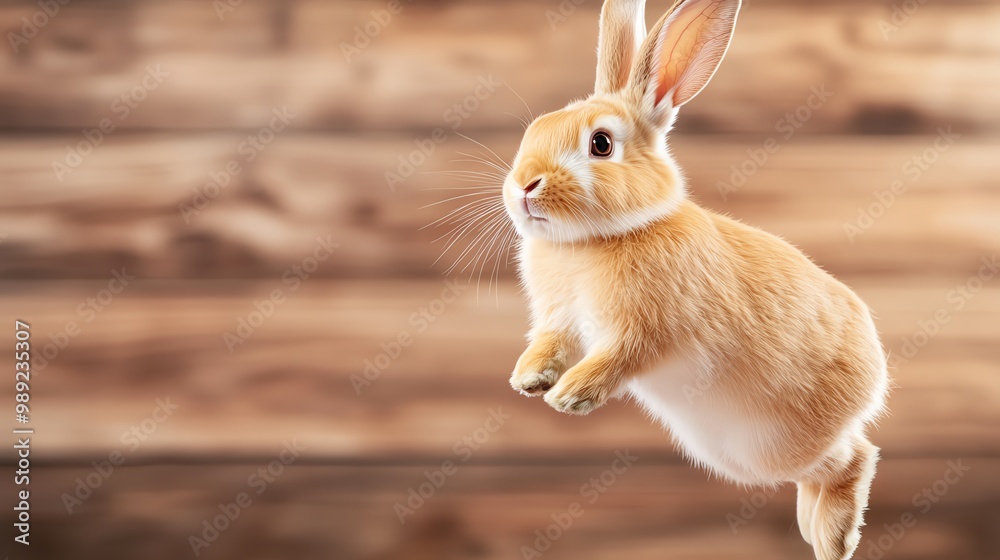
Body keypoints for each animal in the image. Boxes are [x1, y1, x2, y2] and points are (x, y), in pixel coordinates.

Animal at [501, 1, 889, 559]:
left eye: (601, 144)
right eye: (535, 128)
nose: (524, 186)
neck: (596, 240)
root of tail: (876, 379)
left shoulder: (646, 331)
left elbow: (616, 359)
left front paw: (570, 397)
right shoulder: (560, 319)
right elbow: (549, 344)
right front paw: (529, 380)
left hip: (775, 444)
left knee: (855, 455)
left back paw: (832, 538)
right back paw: (812, 526)